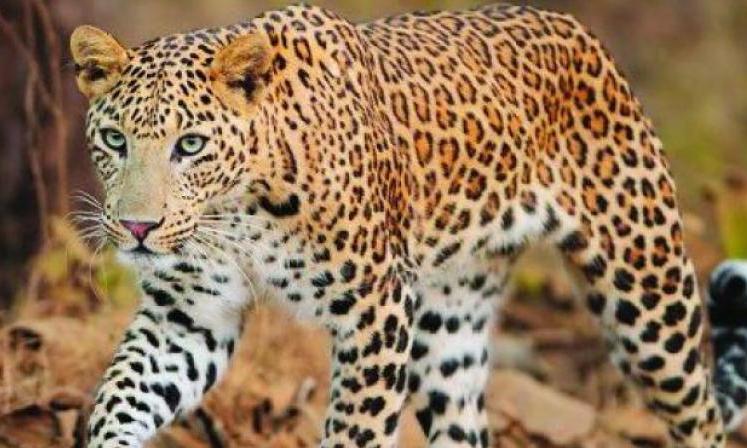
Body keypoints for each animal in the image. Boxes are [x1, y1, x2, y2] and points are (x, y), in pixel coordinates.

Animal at [69, 3, 747, 447]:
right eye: (114, 139)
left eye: (190, 145)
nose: (137, 228)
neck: (237, 208)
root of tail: (581, 32)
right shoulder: (186, 317)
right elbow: (119, 400)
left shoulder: (376, 311)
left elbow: (355, 433)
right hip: (449, 324)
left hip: (648, 293)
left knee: (701, 415)